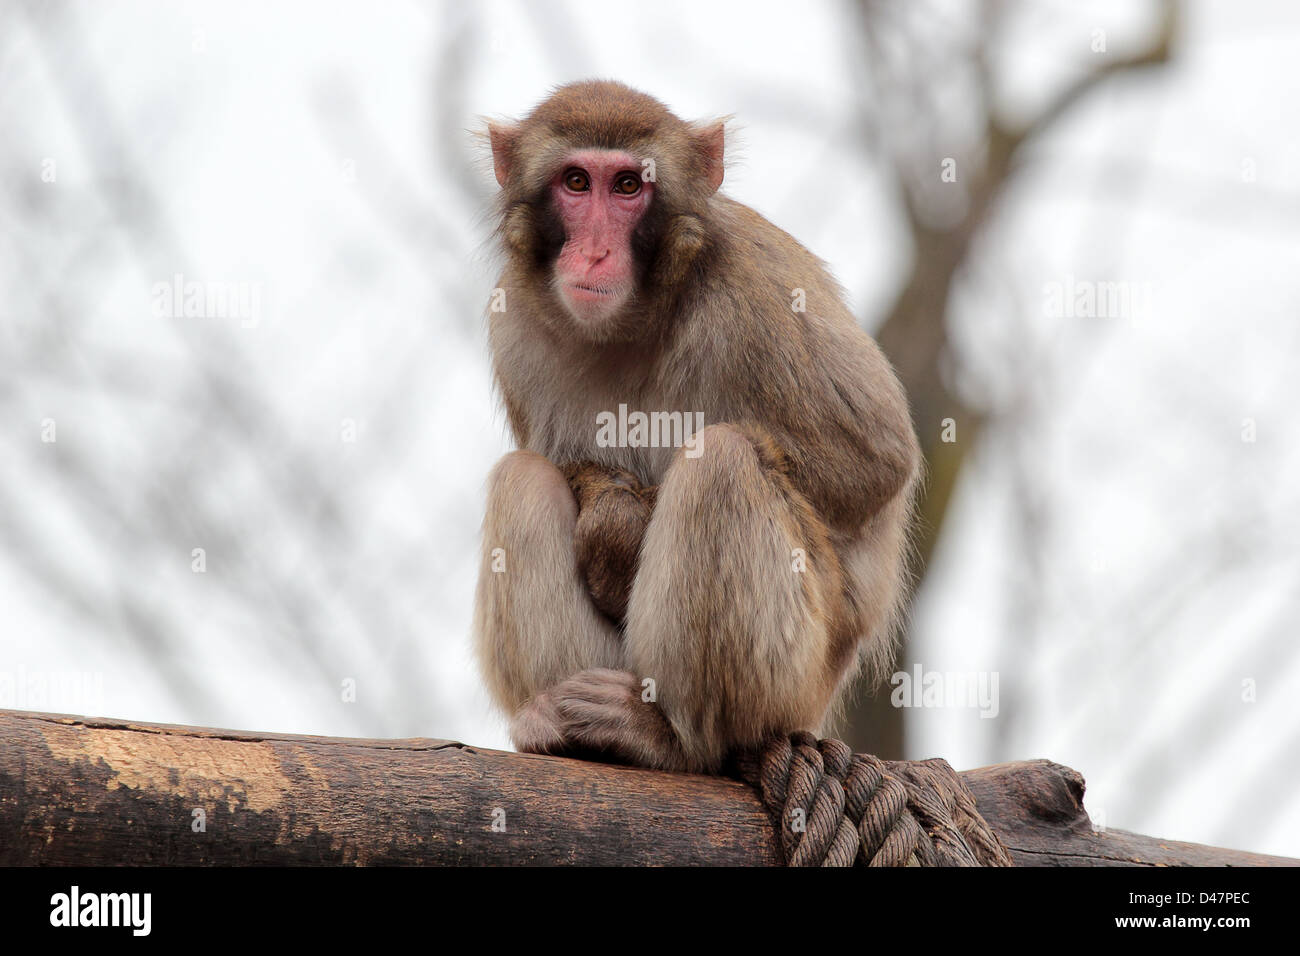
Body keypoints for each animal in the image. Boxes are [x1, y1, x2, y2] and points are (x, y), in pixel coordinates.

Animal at [472, 80, 921, 775]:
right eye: (576, 181)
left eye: (629, 186)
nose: (595, 251)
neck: (636, 319)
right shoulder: (513, 322)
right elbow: (553, 460)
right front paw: (609, 518)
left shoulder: (756, 290)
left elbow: (870, 465)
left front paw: (619, 533)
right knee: (523, 478)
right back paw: (566, 726)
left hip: (802, 678)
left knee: (723, 460)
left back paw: (672, 736)